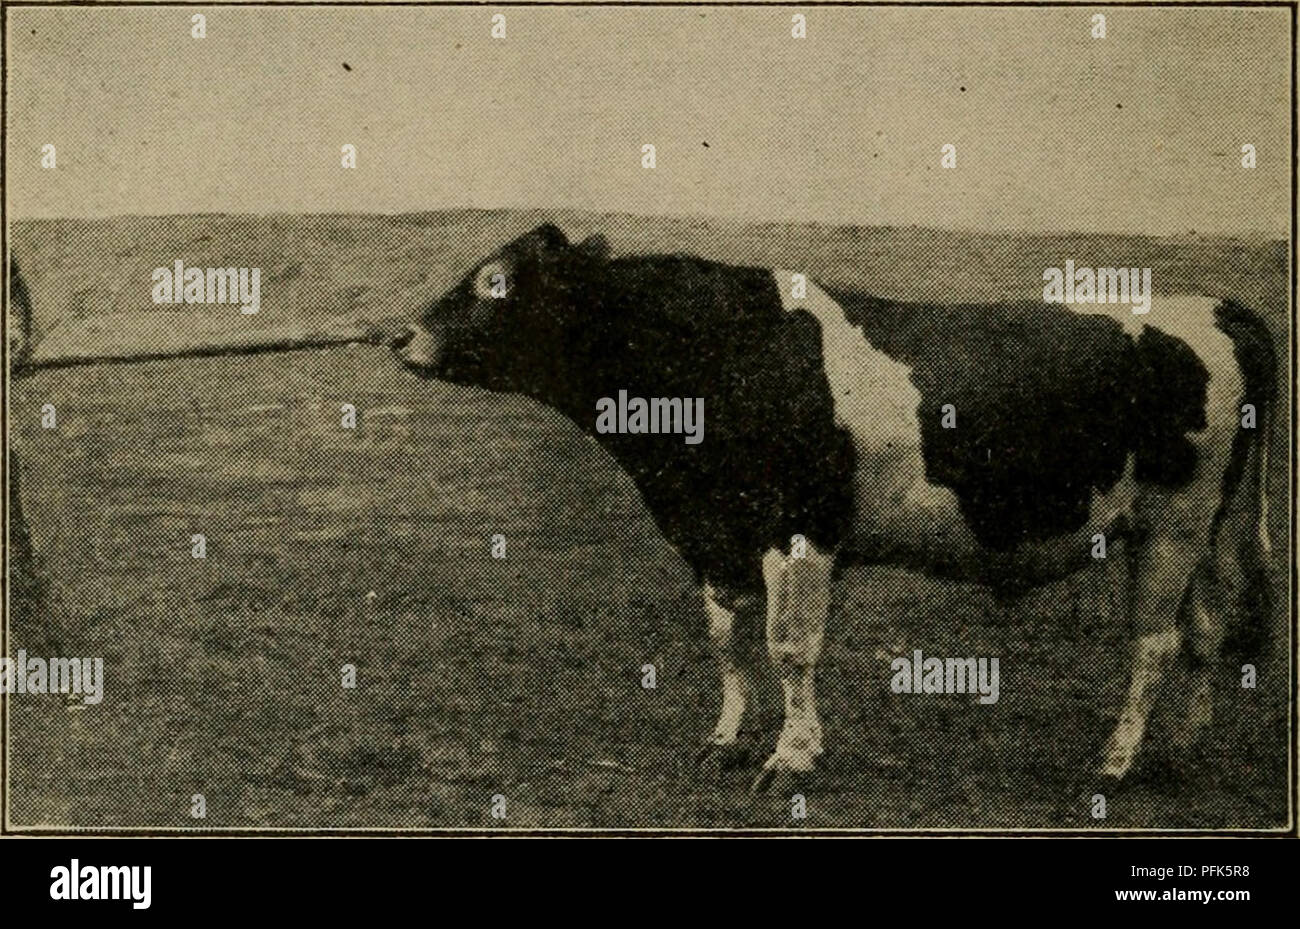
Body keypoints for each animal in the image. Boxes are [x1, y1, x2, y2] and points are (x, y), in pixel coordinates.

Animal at [391, 224, 1275, 790]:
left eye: (497, 283)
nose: (398, 337)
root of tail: (1215, 305)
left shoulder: (799, 529)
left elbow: (789, 648)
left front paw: (791, 758)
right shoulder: (718, 534)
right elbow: (728, 643)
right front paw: (724, 742)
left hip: (1173, 521)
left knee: (1155, 643)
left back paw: (1117, 762)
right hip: (1197, 529)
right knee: (1205, 630)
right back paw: (1179, 753)